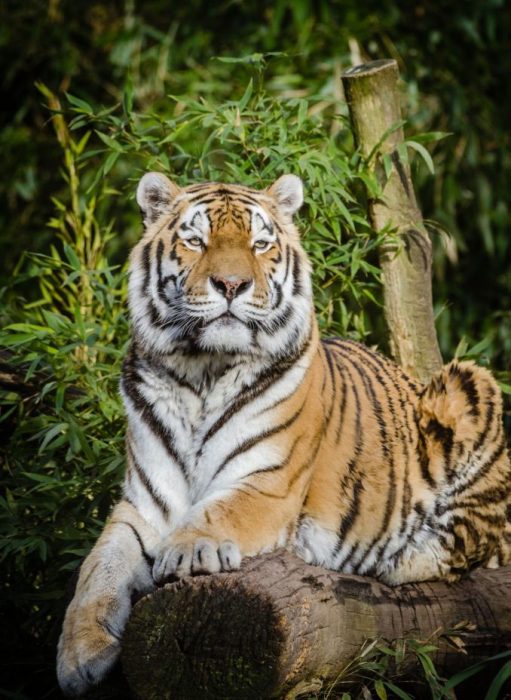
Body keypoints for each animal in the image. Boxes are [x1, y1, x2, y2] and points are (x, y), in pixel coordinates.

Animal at [57, 172, 511, 696]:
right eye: (196, 241)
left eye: (260, 244)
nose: (232, 284)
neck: (201, 372)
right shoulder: (144, 504)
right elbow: (97, 568)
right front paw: (79, 653)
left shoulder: (268, 484)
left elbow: (218, 511)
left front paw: (187, 550)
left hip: (469, 385)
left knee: (468, 545)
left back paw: (400, 559)